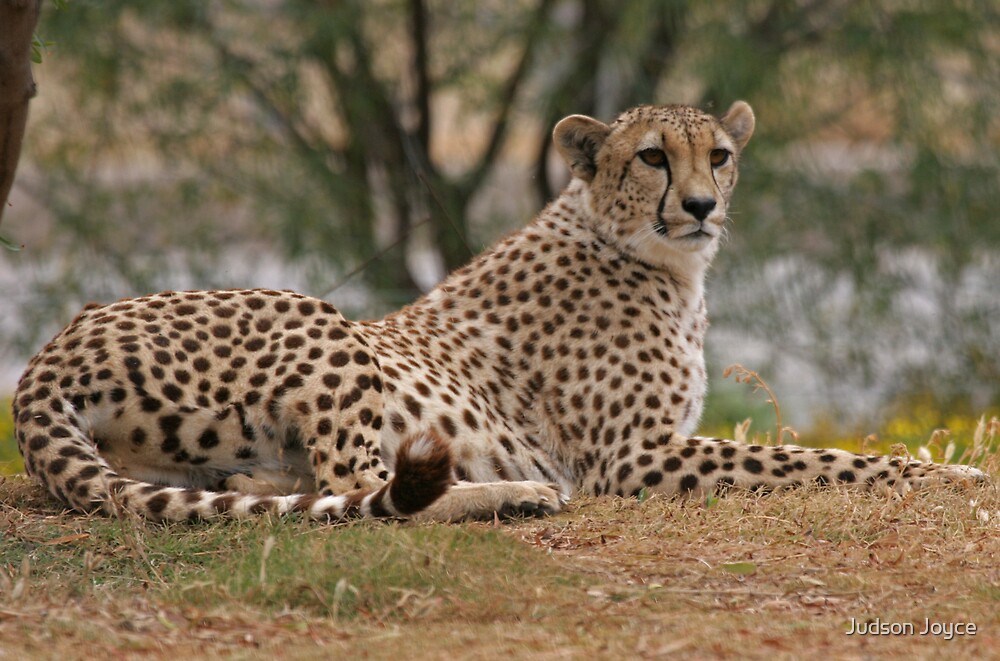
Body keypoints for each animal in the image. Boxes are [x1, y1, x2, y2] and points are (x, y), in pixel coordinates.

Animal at [12, 100, 987, 524]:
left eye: (717, 153)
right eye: (652, 157)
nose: (704, 205)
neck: (655, 259)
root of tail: (42, 357)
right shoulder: (632, 458)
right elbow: (821, 460)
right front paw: (954, 475)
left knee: (305, 492)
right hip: (318, 320)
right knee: (365, 491)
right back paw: (516, 491)